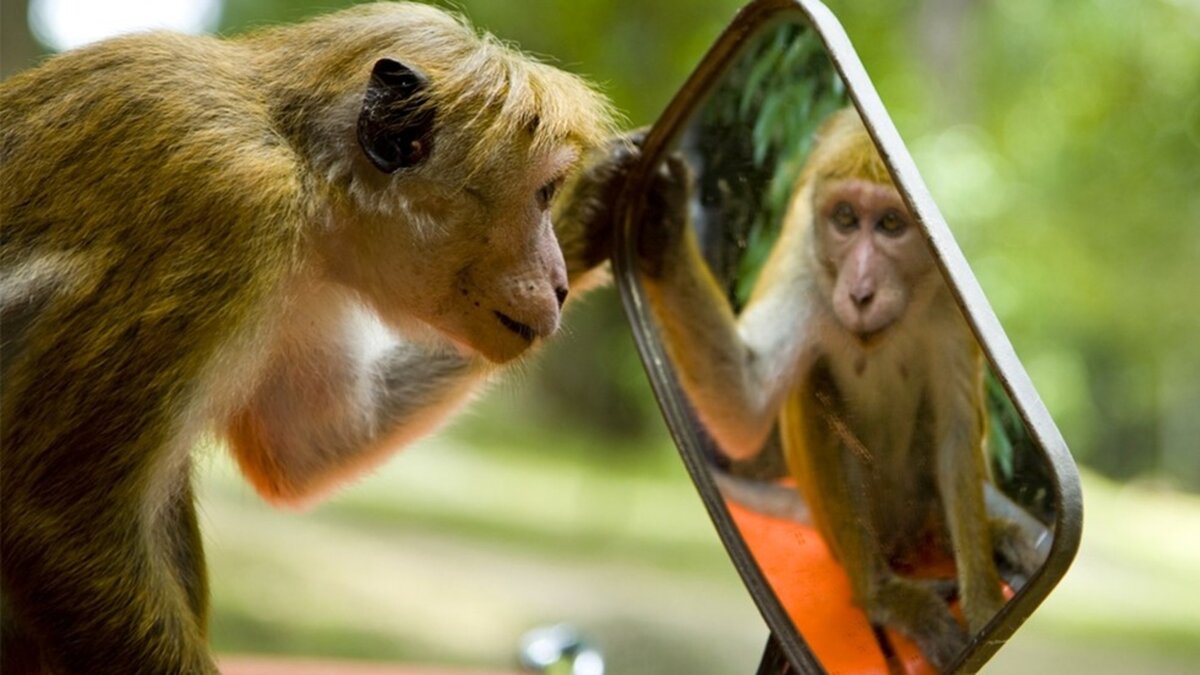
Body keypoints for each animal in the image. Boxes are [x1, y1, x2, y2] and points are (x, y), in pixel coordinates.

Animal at [0, 2, 638, 667]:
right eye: (541, 192)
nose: (559, 284)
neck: (301, 160)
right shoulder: (230, 204)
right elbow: (59, 522)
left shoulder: (307, 277)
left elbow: (309, 445)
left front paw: (595, 213)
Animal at [633, 107, 1046, 667]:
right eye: (845, 219)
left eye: (891, 224)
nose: (860, 291)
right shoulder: (805, 265)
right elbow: (747, 402)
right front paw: (661, 227)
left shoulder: (952, 304)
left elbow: (956, 434)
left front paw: (983, 607)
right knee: (812, 385)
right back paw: (881, 594)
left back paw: (971, 537)